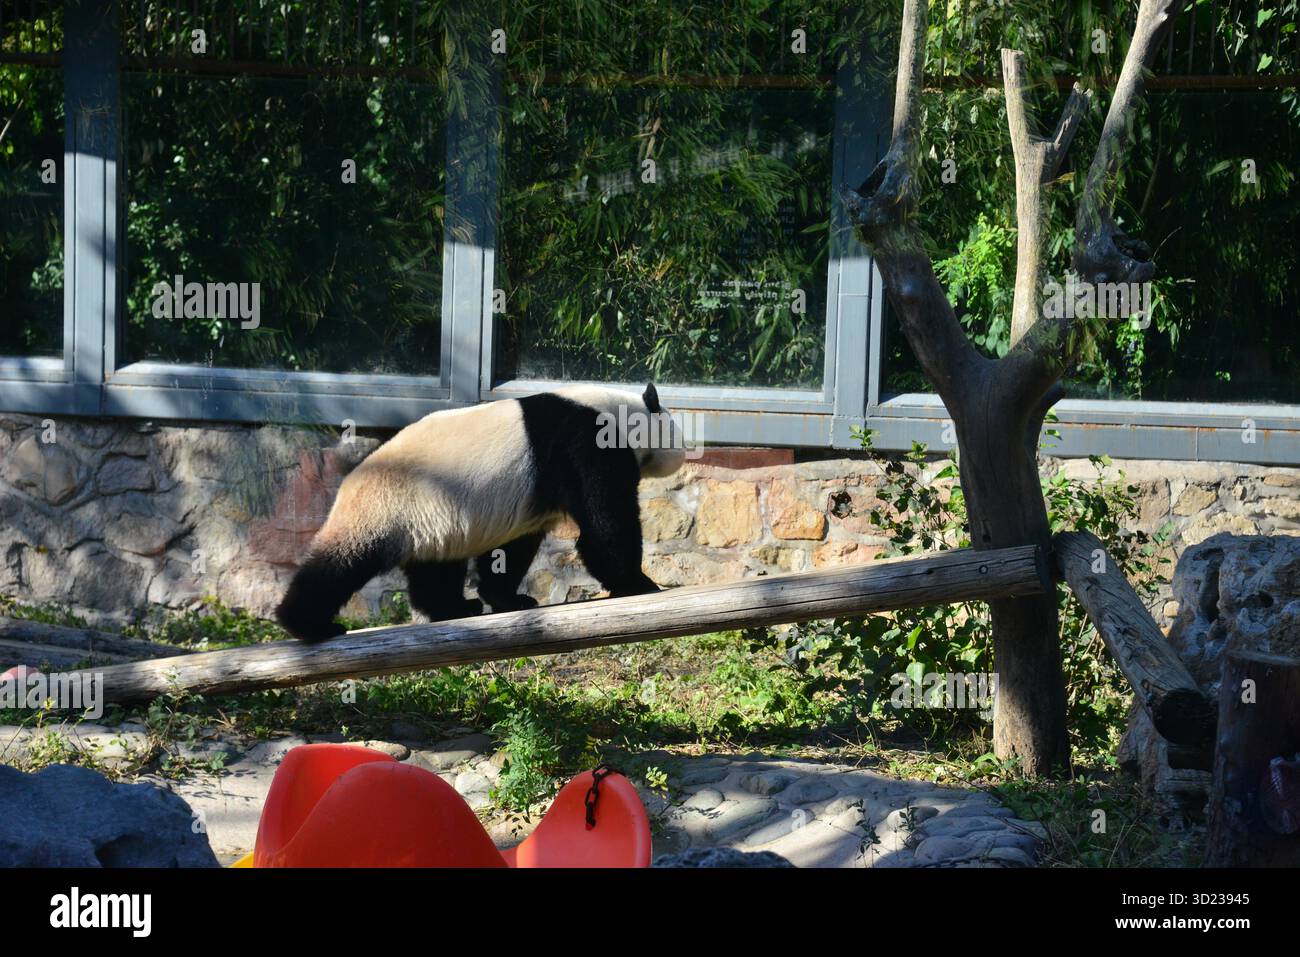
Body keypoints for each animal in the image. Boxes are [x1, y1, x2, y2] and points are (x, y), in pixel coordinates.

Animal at [276, 383, 686, 643]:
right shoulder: (585, 441)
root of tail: (348, 483)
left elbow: (515, 545)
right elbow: (604, 521)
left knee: (435, 569)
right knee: (341, 563)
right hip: (388, 506)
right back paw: (305, 625)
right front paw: (638, 582)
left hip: (432, 518)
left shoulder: (527, 497)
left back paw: (454, 607)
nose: (685, 452)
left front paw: (508, 598)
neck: (616, 410)